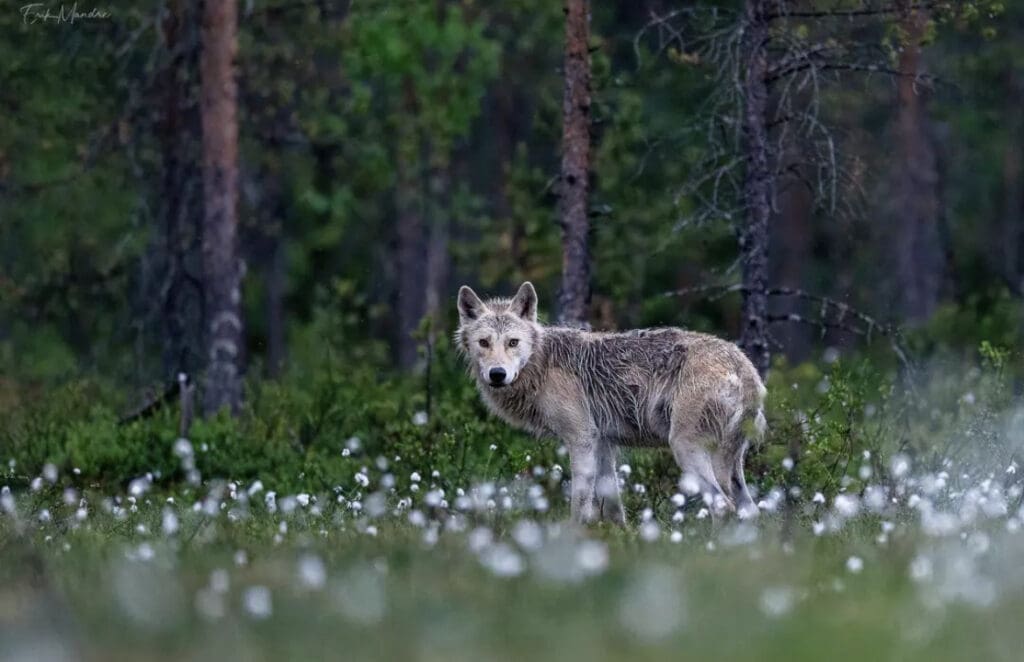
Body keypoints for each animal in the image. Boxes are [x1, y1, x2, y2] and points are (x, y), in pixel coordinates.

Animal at [455, 282, 766, 525]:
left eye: (513, 342)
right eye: (483, 343)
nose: (497, 374)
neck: (541, 365)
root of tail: (745, 366)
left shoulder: (582, 439)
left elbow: (580, 508)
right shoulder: (604, 444)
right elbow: (615, 511)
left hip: (684, 448)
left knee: (724, 507)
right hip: (729, 465)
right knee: (749, 511)